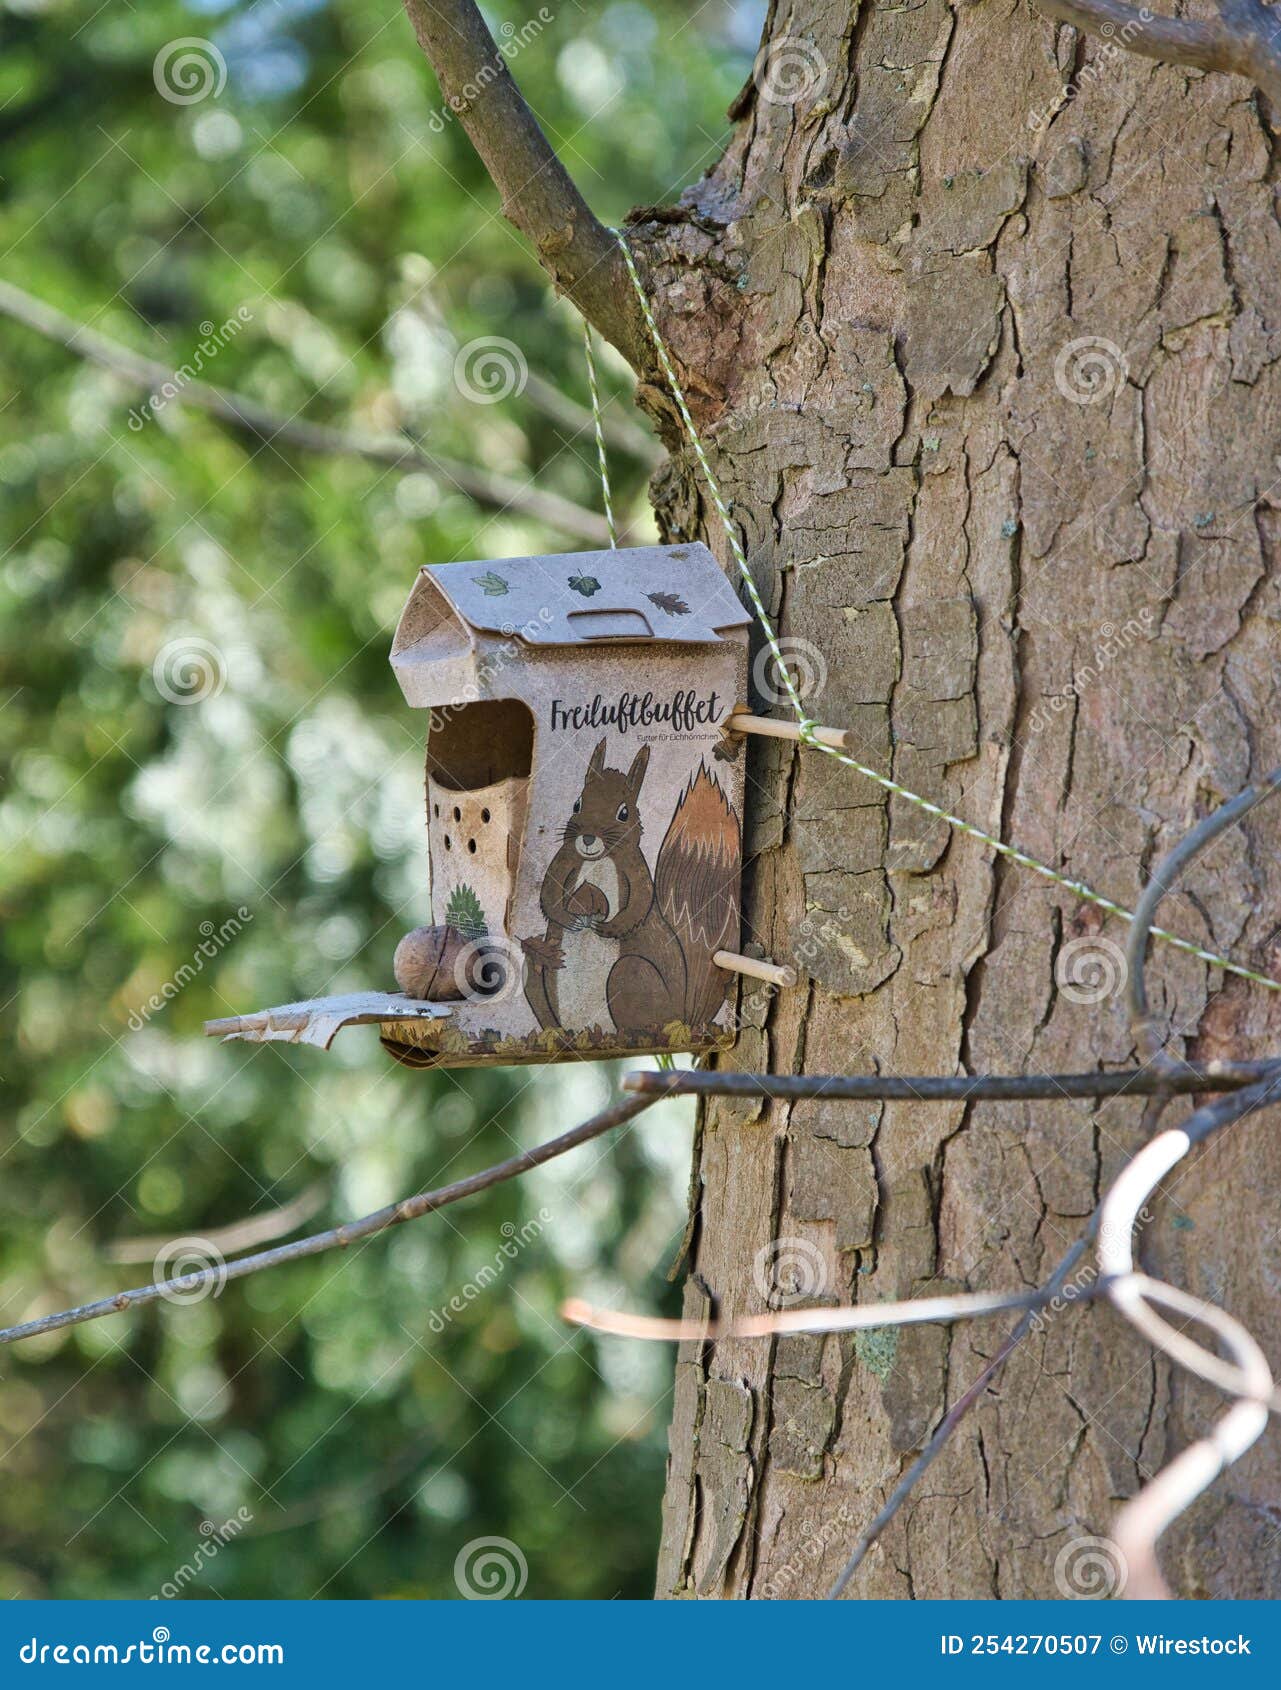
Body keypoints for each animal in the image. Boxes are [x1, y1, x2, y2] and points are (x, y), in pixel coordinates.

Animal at [521, 738, 740, 1036]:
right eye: (577, 804)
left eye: (624, 813)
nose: (587, 838)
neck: (600, 859)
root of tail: (683, 1021)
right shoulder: (565, 858)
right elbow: (549, 895)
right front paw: (568, 918)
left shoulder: (635, 866)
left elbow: (641, 901)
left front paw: (610, 927)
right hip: (536, 971)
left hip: (630, 973)